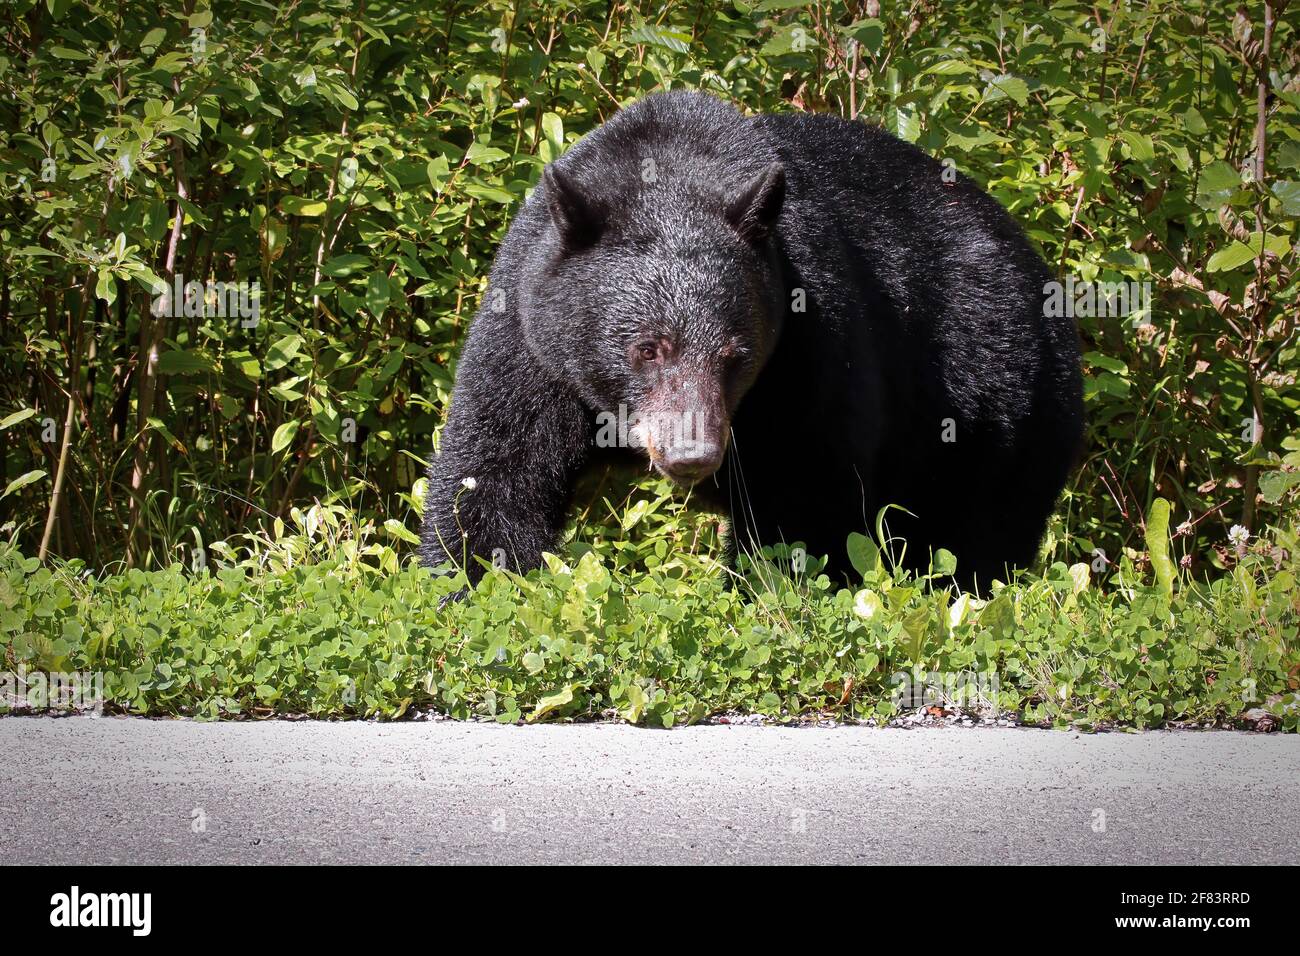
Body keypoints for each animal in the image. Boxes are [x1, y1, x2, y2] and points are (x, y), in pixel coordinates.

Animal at [420, 90, 1083, 591]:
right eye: (647, 349)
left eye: (733, 357)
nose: (691, 454)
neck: (671, 169)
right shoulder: (533, 338)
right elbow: (495, 469)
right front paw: (471, 585)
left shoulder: (807, 336)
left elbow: (804, 488)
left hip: (1004, 406)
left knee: (975, 534)